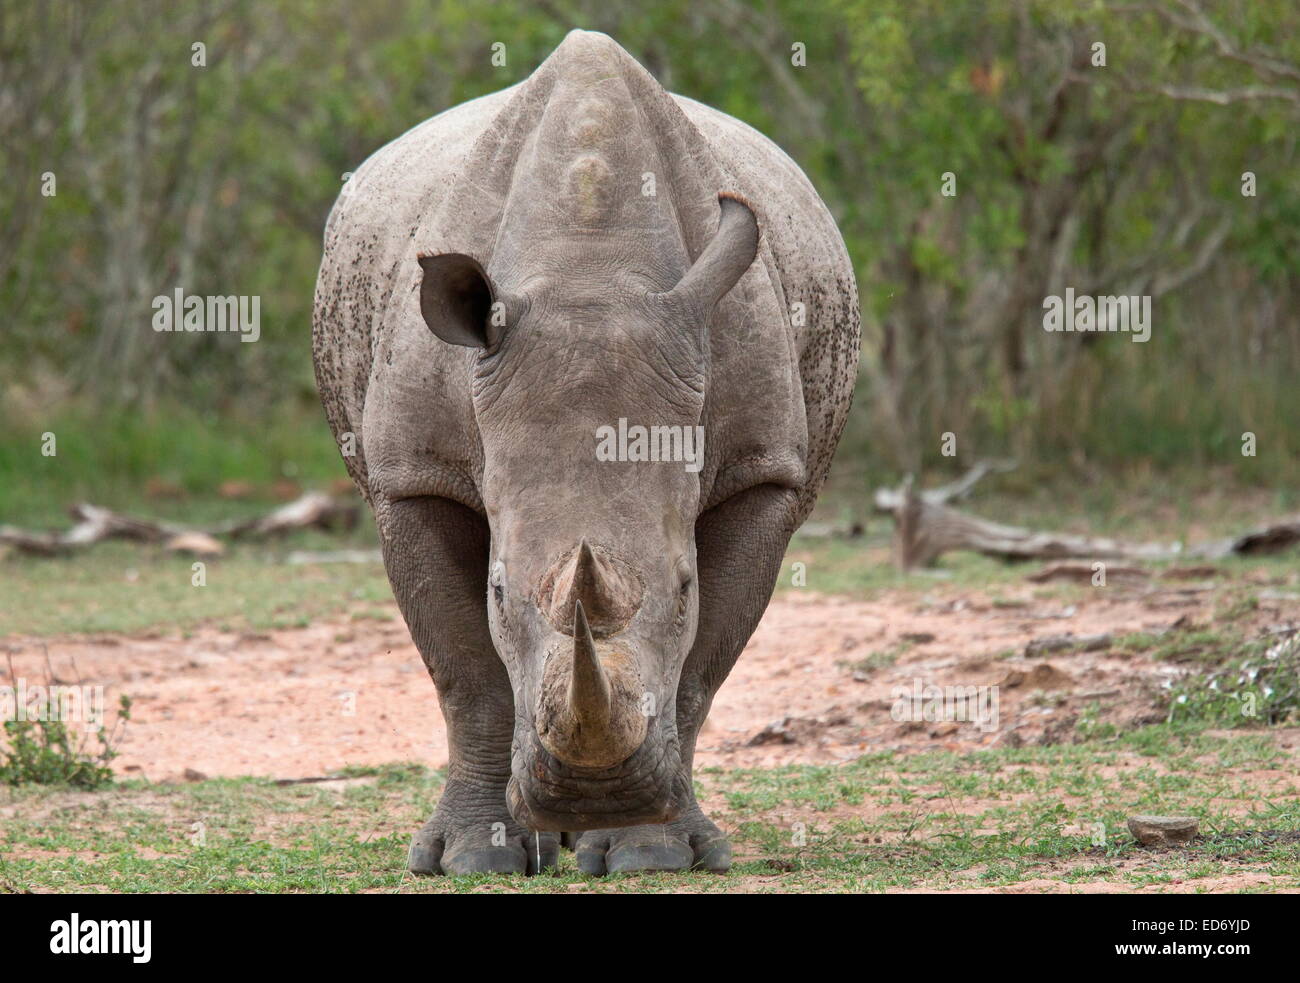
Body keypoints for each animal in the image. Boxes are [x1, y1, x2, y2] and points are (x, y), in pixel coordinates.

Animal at [312, 30, 859, 875]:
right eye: (500, 591)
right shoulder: (412, 473)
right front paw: (475, 857)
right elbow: (467, 674)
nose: (593, 793)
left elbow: (700, 669)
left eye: (683, 587)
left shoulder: (762, 468)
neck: (589, 265)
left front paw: (653, 851)